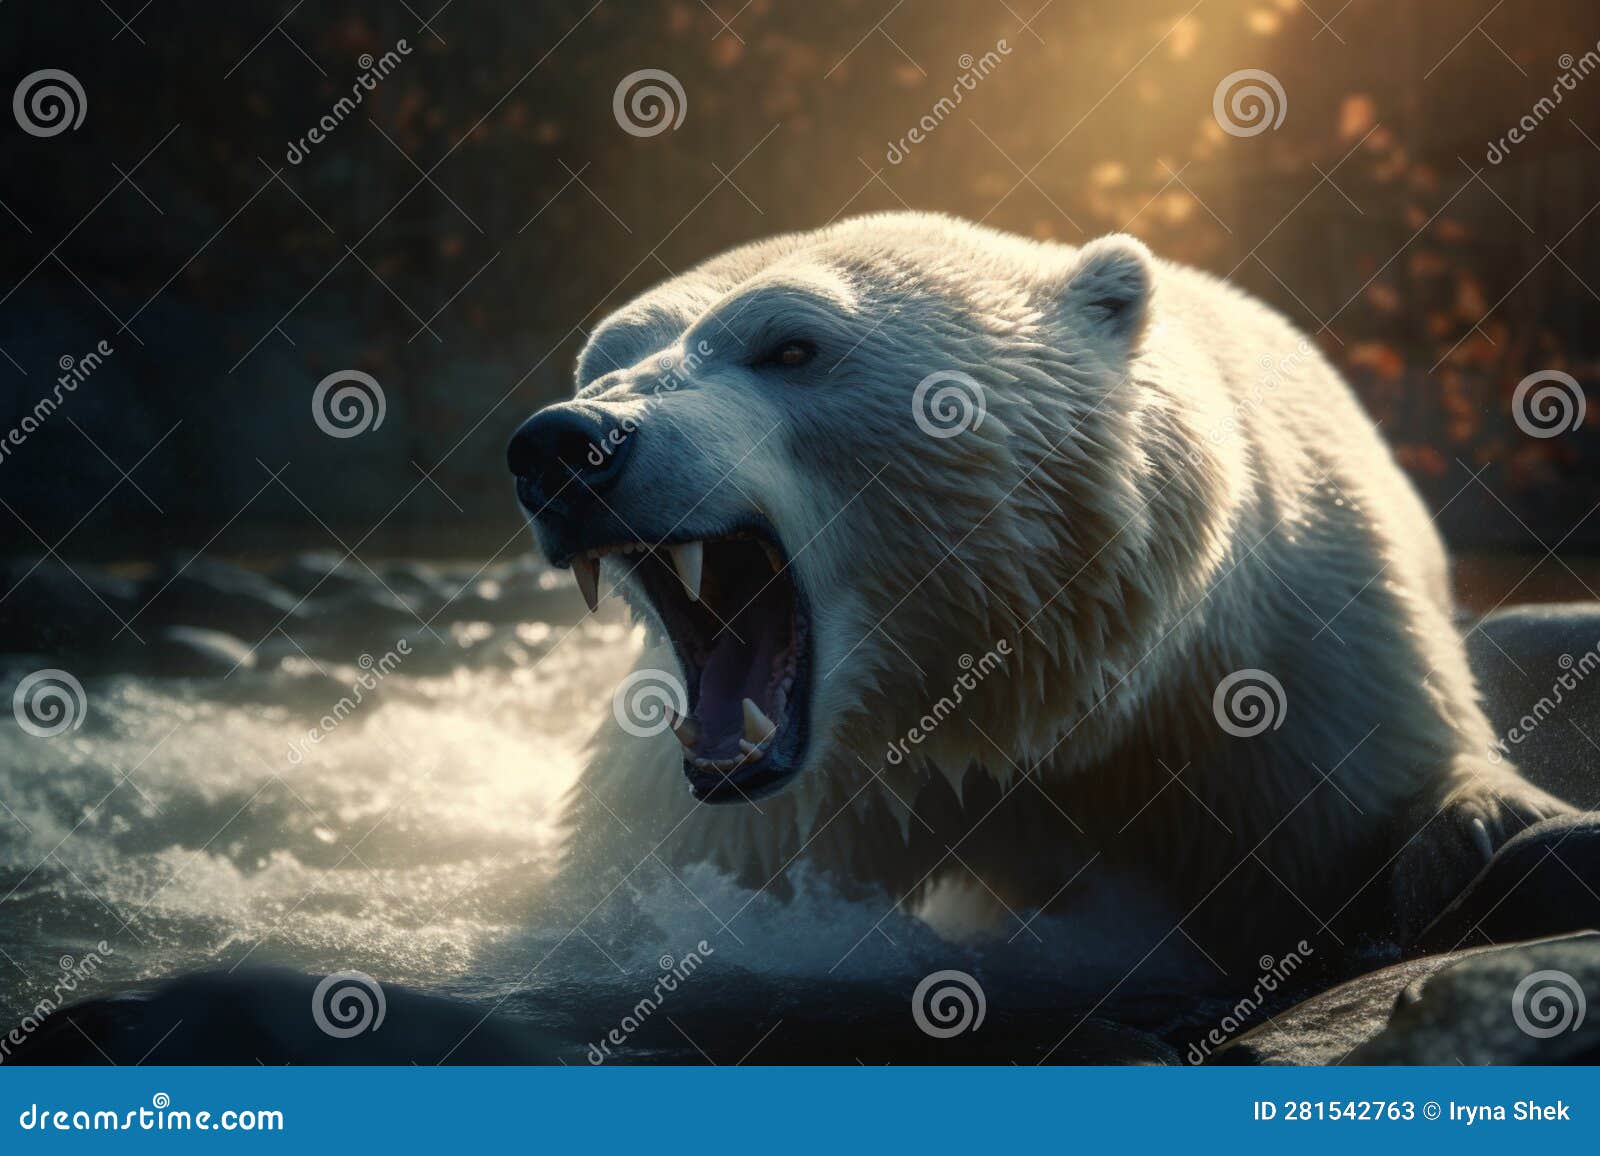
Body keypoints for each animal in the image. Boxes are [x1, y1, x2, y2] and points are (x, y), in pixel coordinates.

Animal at [505, 212, 1568, 975]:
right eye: (604, 359)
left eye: (790, 346)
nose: (562, 444)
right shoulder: (769, 809)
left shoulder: (1293, 662)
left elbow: (1384, 792)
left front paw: (1491, 828)